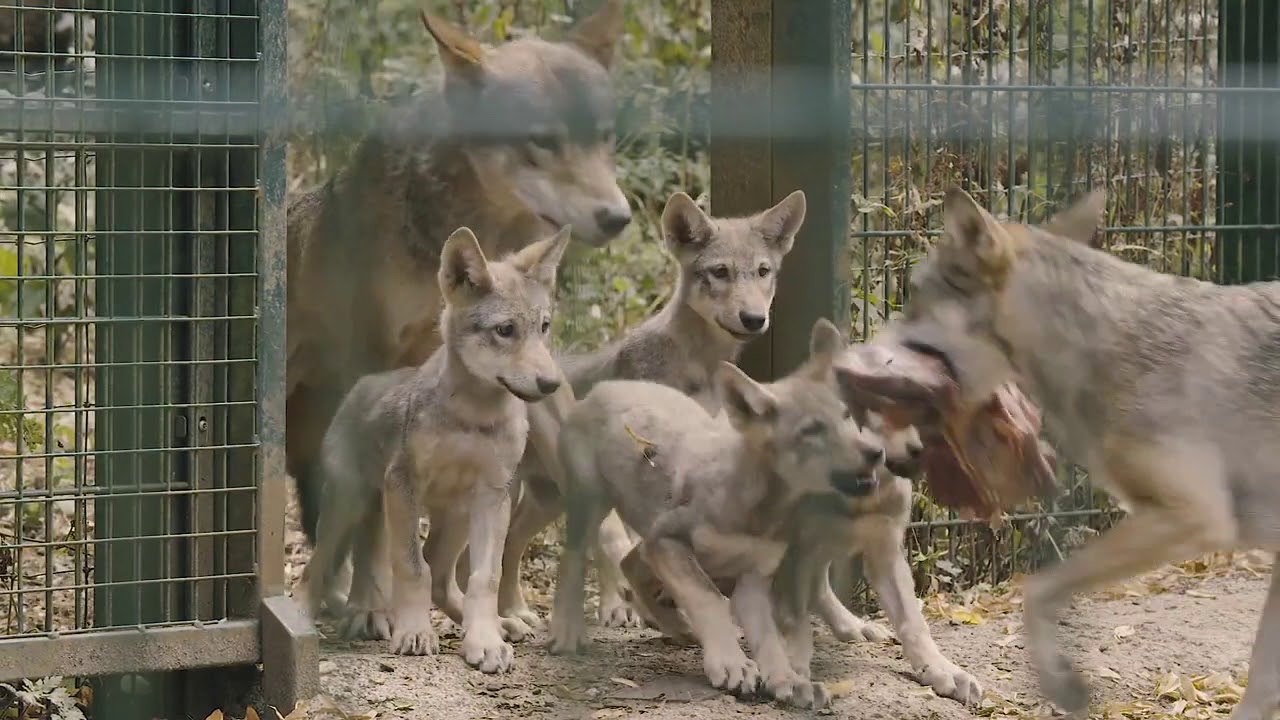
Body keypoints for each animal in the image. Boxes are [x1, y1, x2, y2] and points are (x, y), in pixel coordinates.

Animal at [300, 225, 571, 674]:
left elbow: (483, 578)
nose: (551, 384)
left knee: (444, 580)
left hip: (456, 518)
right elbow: (412, 568)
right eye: (505, 330)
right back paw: (303, 620)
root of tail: (364, 383)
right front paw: (413, 633)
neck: (472, 419)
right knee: (315, 570)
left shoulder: (493, 497)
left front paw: (486, 641)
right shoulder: (402, 484)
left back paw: (501, 625)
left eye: (544, 327)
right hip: (349, 504)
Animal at [496, 189, 808, 630]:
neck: (699, 365)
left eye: (763, 271)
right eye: (720, 272)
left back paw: (518, 610)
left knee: (515, 541)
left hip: (549, 500)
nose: (753, 318)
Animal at [547, 318, 887, 707]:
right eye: (811, 431)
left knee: (628, 563)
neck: (758, 513)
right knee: (573, 560)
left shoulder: (753, 579)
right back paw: (567, 633)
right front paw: (731, 664)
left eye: (847, 418)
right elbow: (709, 599)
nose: (876, 452)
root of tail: (605, 386)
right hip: (590, 506)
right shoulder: (669, 542)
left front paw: (788, 680)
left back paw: (678, 628)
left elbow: (770, 640)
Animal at [862, 185, 1280, 720]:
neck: (1098, 343)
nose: (861, 348)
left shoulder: (1194, 517)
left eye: (914, 294)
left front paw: (1063, 685)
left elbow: (1035, 593)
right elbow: (1261, 684)